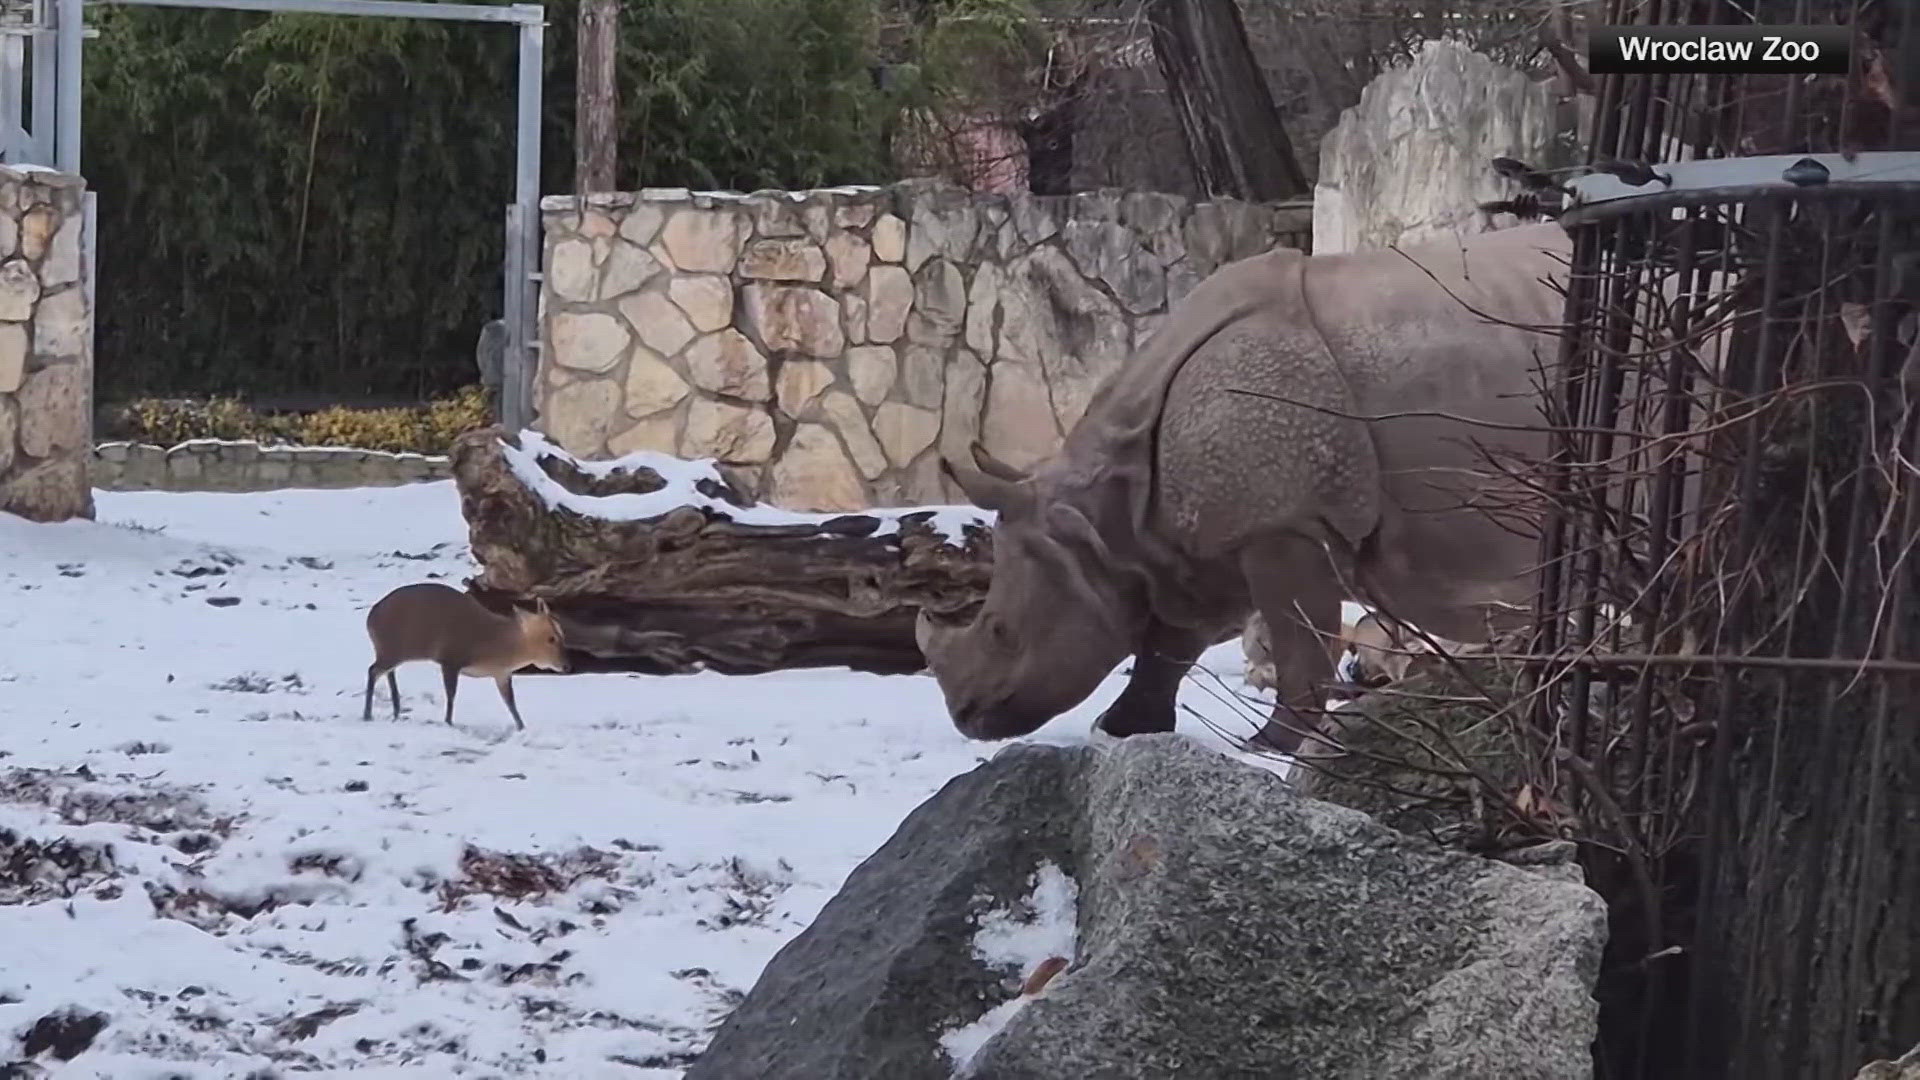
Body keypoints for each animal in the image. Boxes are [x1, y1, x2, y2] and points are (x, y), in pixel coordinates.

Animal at [362, 583, 569, 730]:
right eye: (551, 638)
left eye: (562, 634)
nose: (566, 665)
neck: (499, 647)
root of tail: (370, 619)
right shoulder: (450, 658)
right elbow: (451, 694)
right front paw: (448, 722)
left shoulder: (502, 673)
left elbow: (510, 701)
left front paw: (521, 727)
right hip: (393, 648)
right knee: (373, 670)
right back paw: (367, 714)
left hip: (392, 651)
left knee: (386, 671)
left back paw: (396, 711)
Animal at [916, 222, 1571, 754]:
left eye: (1000, 630)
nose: (965, 717)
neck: (1104, 509)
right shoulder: (1193, 542)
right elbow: (1168, 644)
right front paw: (1121, 729)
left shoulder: (1285, 525)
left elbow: (1298, 641)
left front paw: (1267, 746)